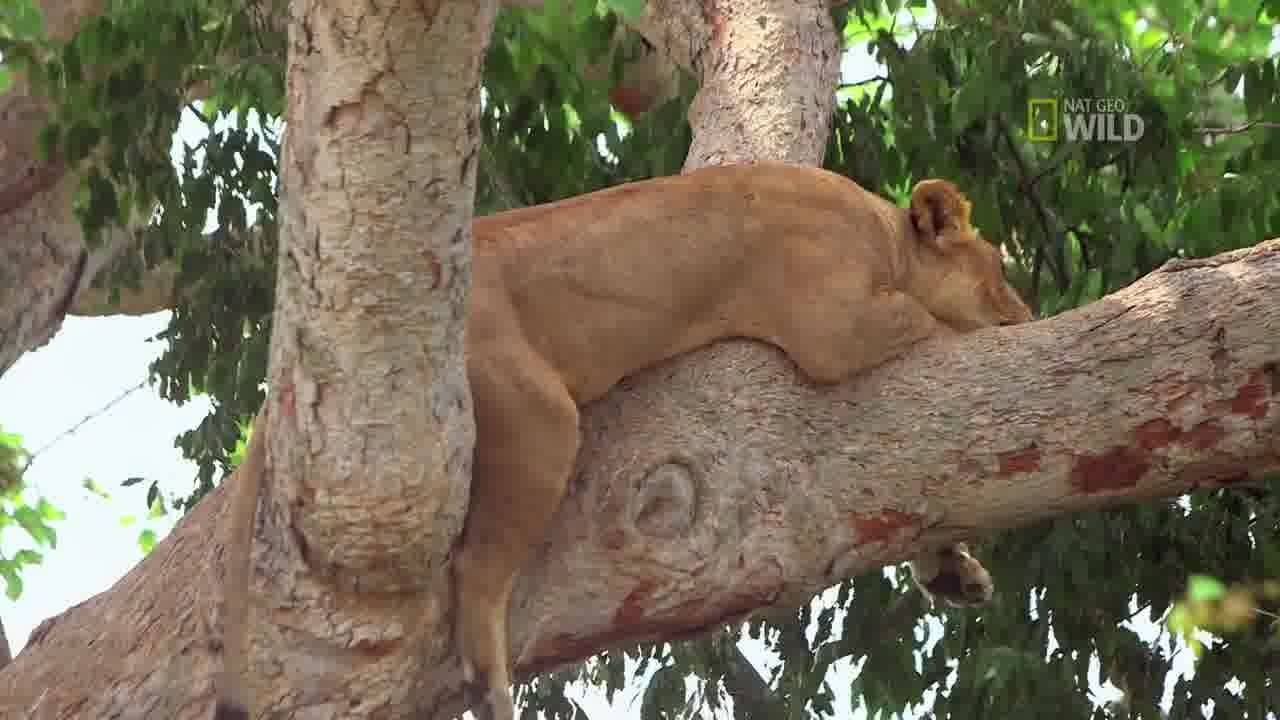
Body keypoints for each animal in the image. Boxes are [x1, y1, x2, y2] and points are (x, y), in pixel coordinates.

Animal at [213, 161, 1032, 720]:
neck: (879, 229)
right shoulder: (833, 327)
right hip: (538, 418)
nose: (1028, 318)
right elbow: (930, 329)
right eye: (1000, 269)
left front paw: (951, 567)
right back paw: (489, 684)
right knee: (477, 570)